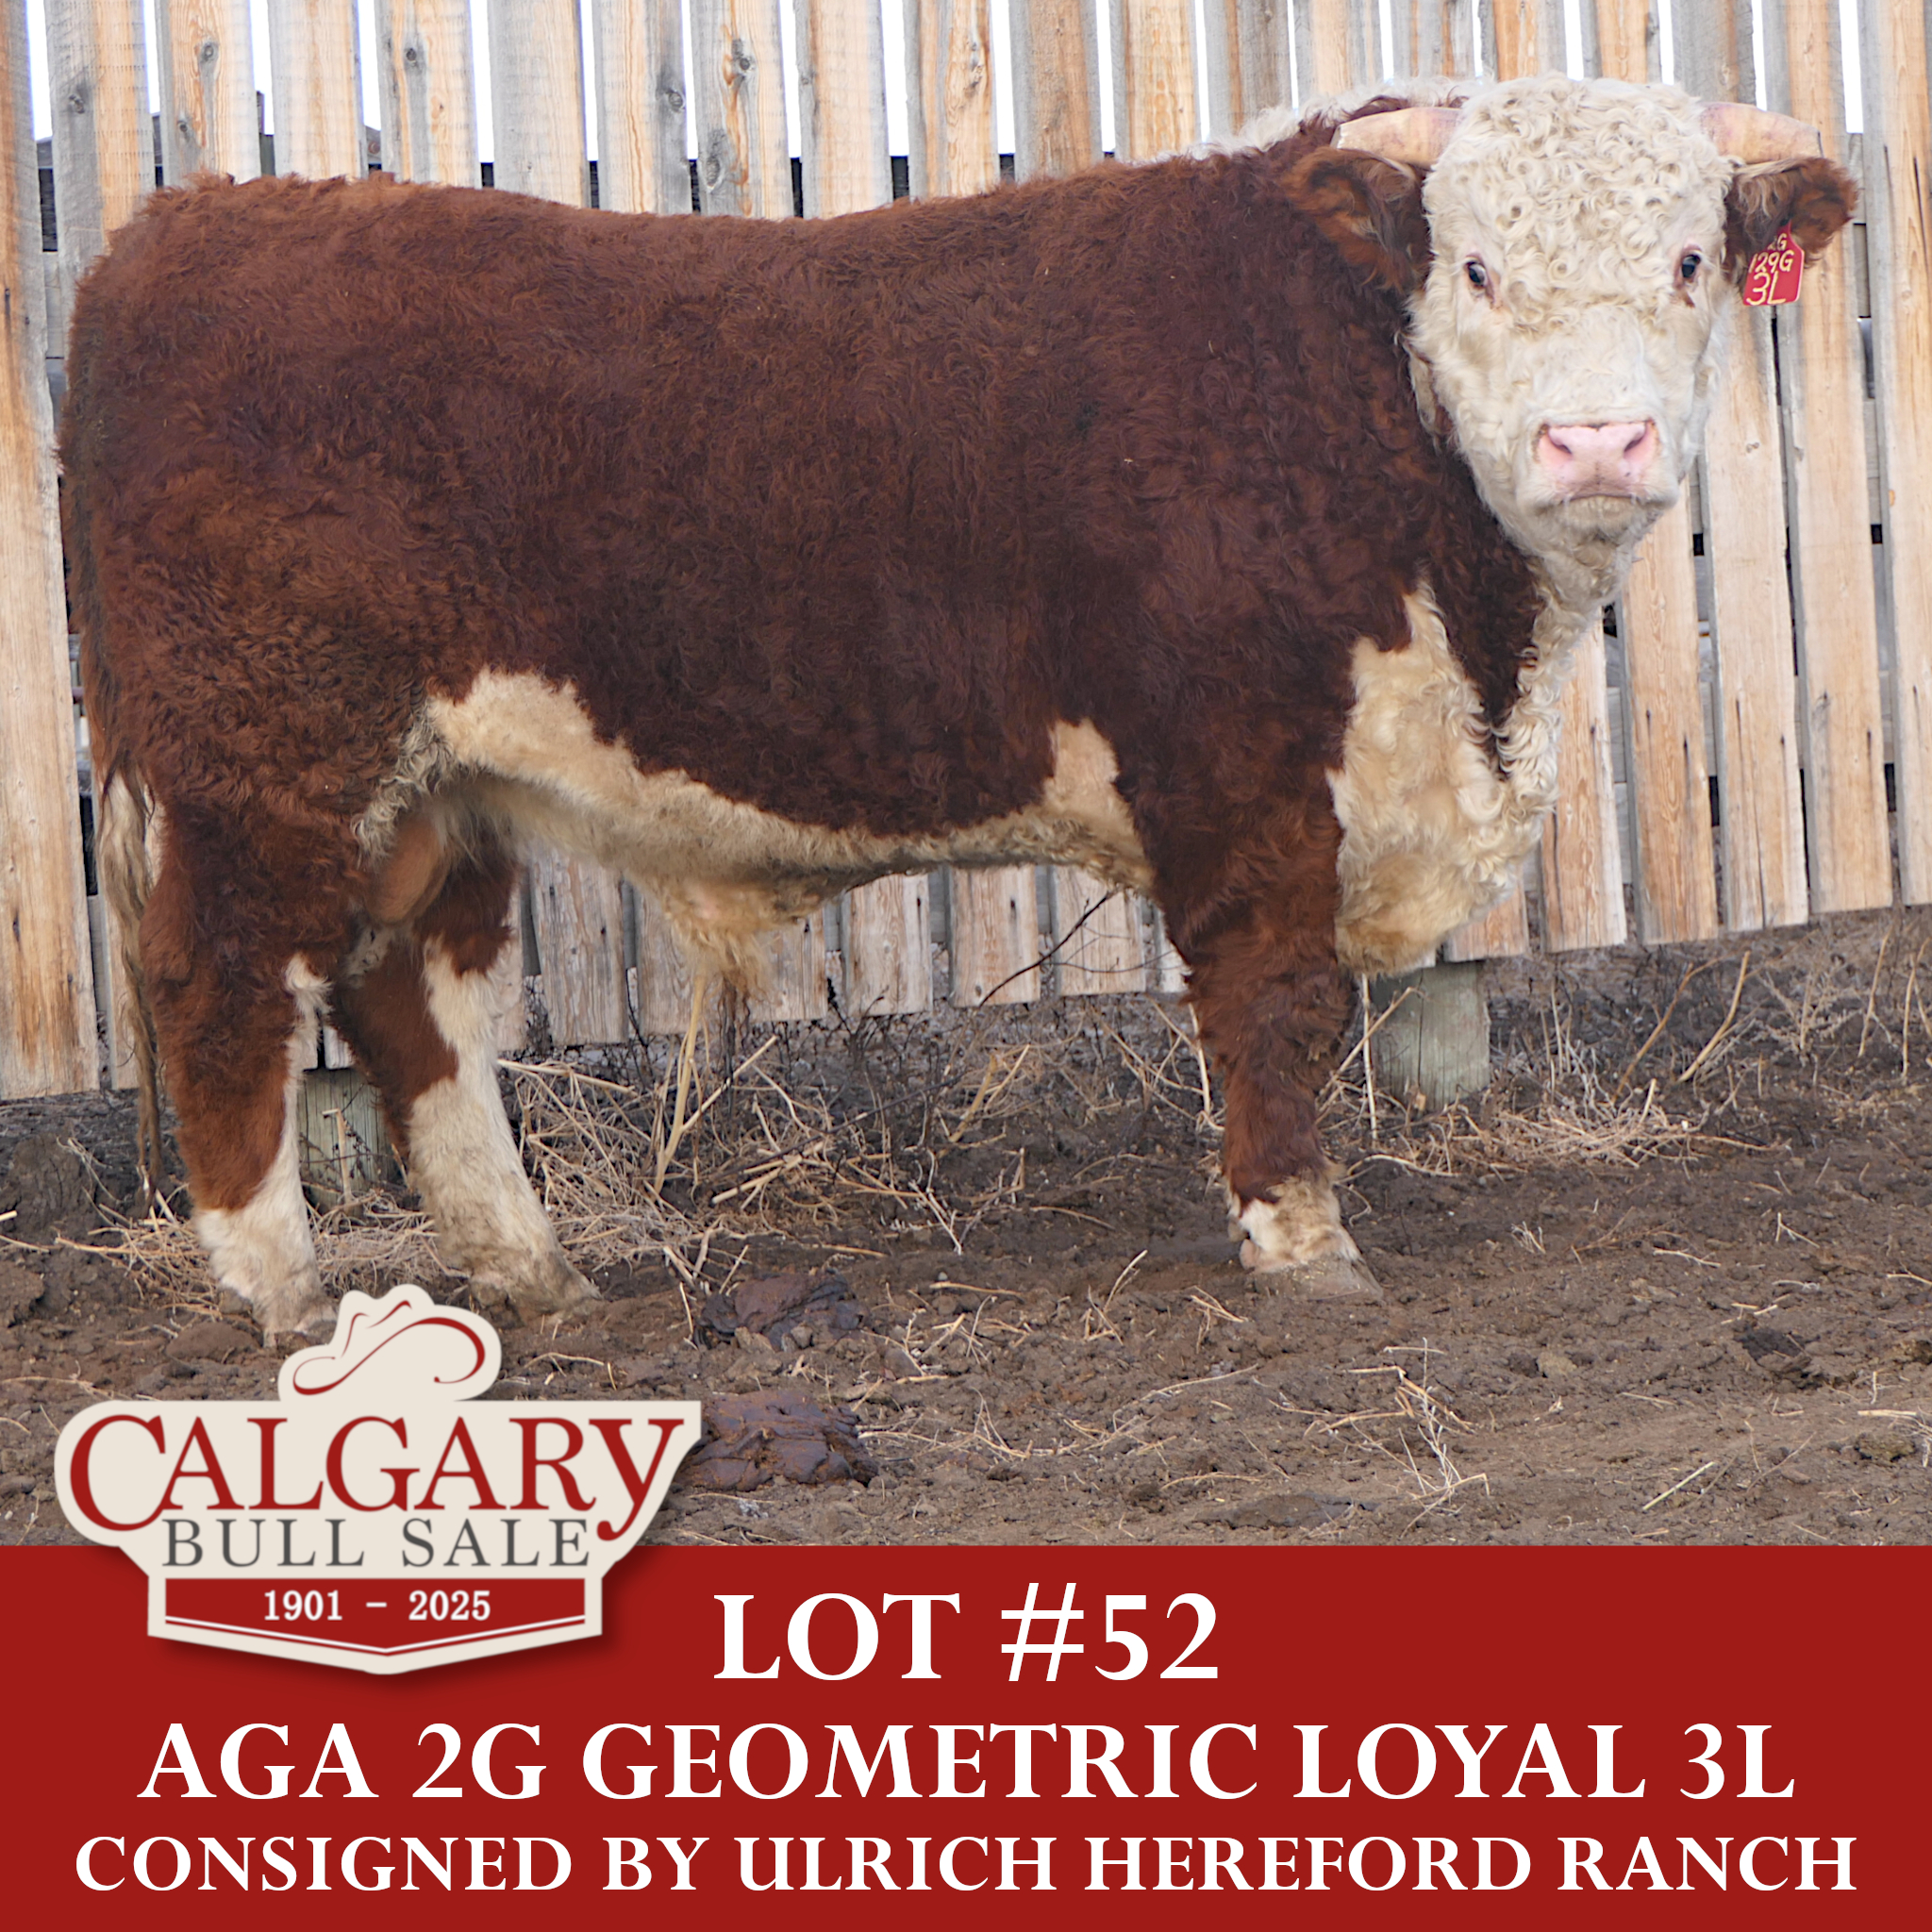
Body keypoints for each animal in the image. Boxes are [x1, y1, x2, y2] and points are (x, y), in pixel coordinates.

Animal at [60, 76, 1853, 1340]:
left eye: (1690, 258)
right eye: (1475, 265)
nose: (1597, 443)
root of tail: (183, 225)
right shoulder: (1241, 765)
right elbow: (1271, 998)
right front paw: (1303, 1242)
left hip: (431, 788)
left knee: (413, 999)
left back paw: (534, 1273)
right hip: (269, 765)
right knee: (222, 988)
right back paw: (287, 1296)